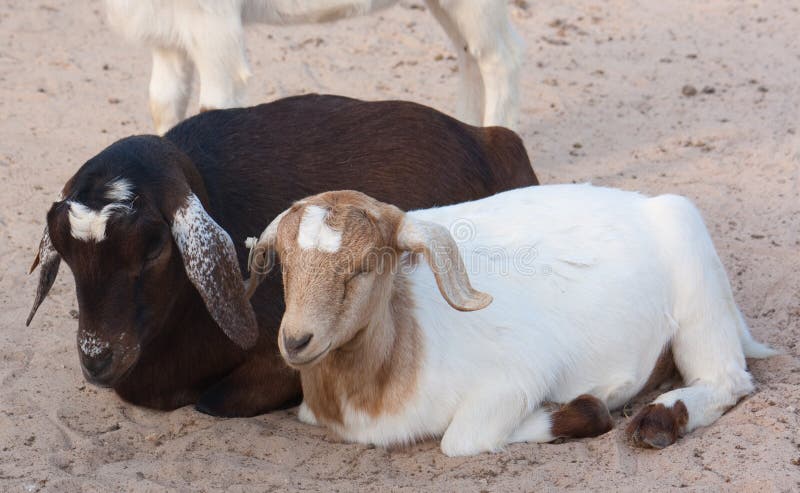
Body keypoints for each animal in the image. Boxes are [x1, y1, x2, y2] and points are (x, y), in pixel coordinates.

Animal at [103, 0, 523, 134]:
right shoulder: (168, 35)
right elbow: (163, 103)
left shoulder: (214, 28)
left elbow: (214, 108)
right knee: (470, 56)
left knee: (502, 58)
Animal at [246, 185, 776, 455]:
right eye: (285, 265)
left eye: (363, 266)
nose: (296, 340)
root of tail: (649, 203)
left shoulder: (517, 375)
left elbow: (460, 440)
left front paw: (587, 404)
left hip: (697, 291)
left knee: (727, 379)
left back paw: (657, 421)